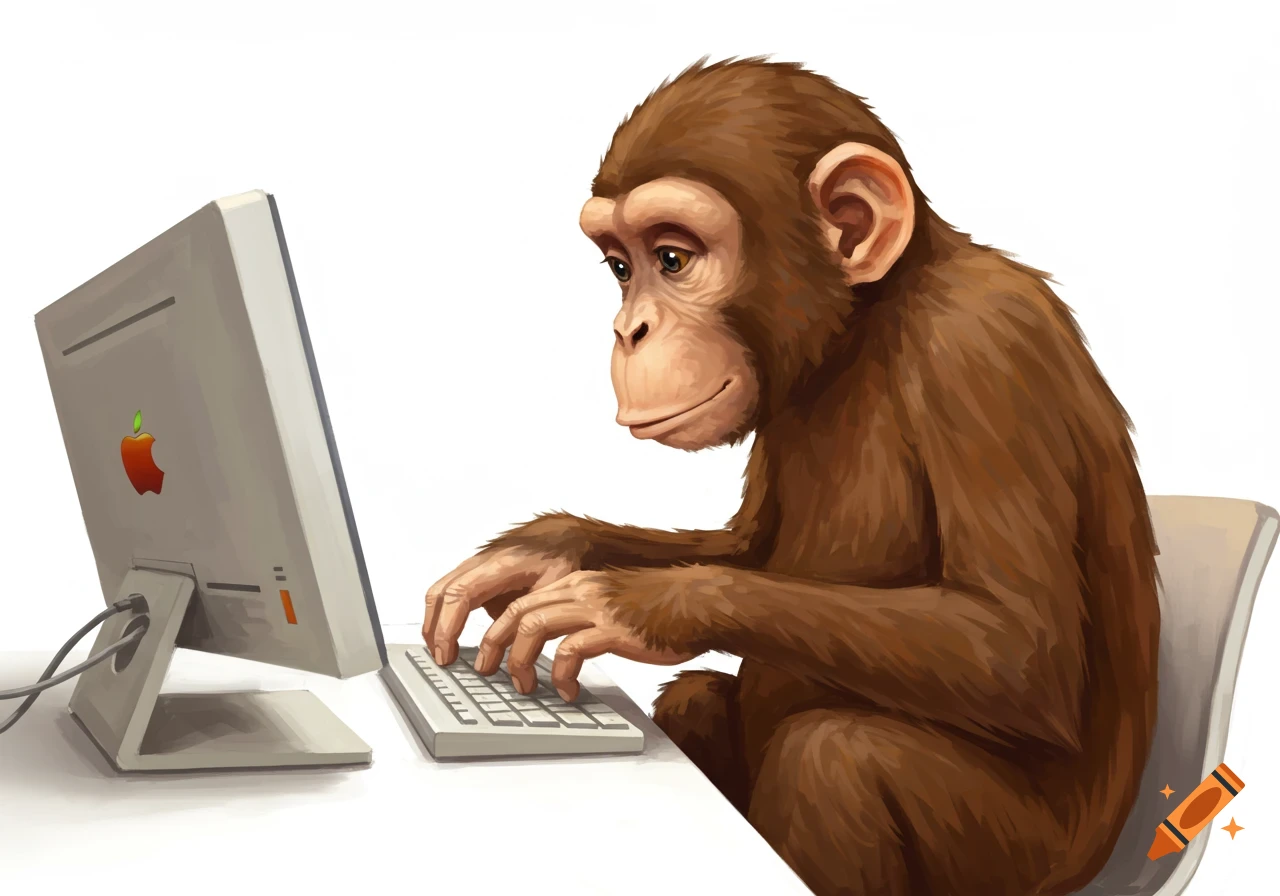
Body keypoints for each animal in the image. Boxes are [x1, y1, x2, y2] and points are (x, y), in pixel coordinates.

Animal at [422, 58, 1160, 896]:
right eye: (620, 268)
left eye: (671, 260)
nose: (628, 328)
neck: (865, 323)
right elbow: (747, 548)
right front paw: (540, 550)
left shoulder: (982, 349)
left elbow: (1021, 644)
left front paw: (626, 605)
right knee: (698, 699)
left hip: (1017, 859)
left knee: (836, 761)